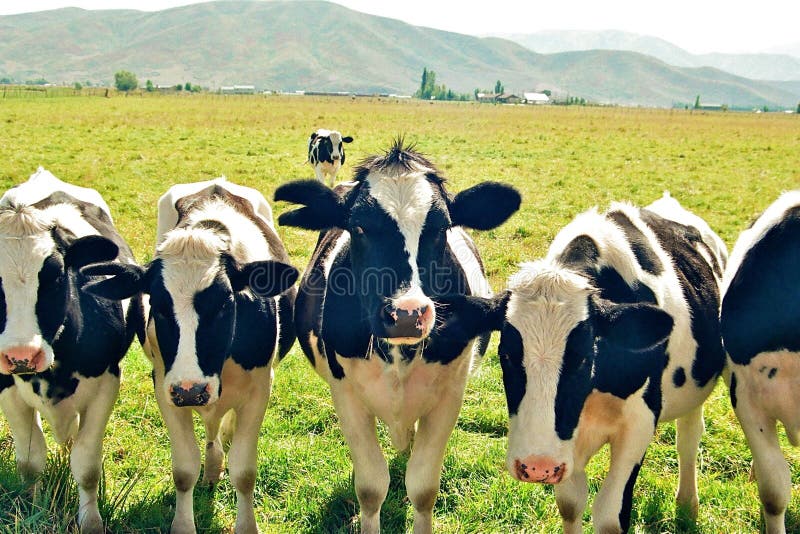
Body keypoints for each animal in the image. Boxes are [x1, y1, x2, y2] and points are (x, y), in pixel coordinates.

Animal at [0, 167, 143, 533]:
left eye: (54, 275)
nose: (21, 355)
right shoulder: (5, 387)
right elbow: (30, 461)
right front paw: (33, 508)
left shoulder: (106, 384)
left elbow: (87, 464)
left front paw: (90, 520)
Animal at [81, 178, 298, 534]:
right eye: (156, 304)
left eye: (224, 302)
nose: (191, 391)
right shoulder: (165, 389)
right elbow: (184, 471)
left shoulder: (259, 390)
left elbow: (244, 472)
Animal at [274, 139, 521, 534]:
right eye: (358, 227)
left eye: (441, 227)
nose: (407, 314)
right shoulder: (346, 395)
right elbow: (371, 487)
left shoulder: (450, 396)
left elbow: (423, 488)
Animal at [439, 193, 727, 533]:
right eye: (506, 354)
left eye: (583, 358)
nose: (537, 467)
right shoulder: (567, 443)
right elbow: (571, 503)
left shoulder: (639, 423)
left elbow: (610, 514)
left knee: (689, 437)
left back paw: (687, 505)